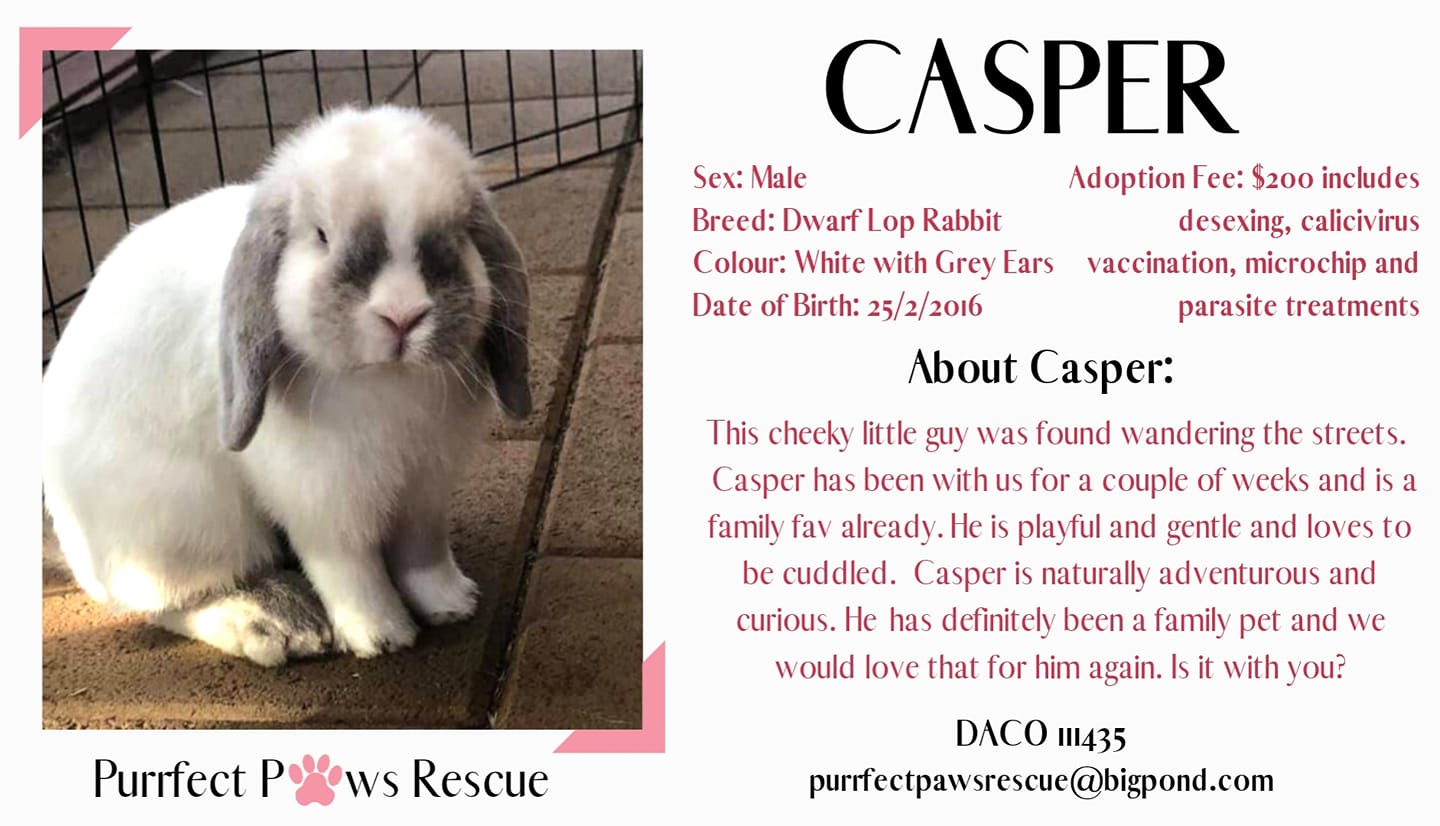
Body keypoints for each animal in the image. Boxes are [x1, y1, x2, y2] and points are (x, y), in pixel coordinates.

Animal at [41, 104, 531, 666]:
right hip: (185, 528)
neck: (388, 380)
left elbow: (422, 551)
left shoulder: (426, 486)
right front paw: (382, 636)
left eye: (458, 233)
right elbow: (349, 569)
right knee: (168, 603)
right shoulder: (324, 497)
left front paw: (453, 603)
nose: (403, 315)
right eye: (321, 236)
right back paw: (276, 623)